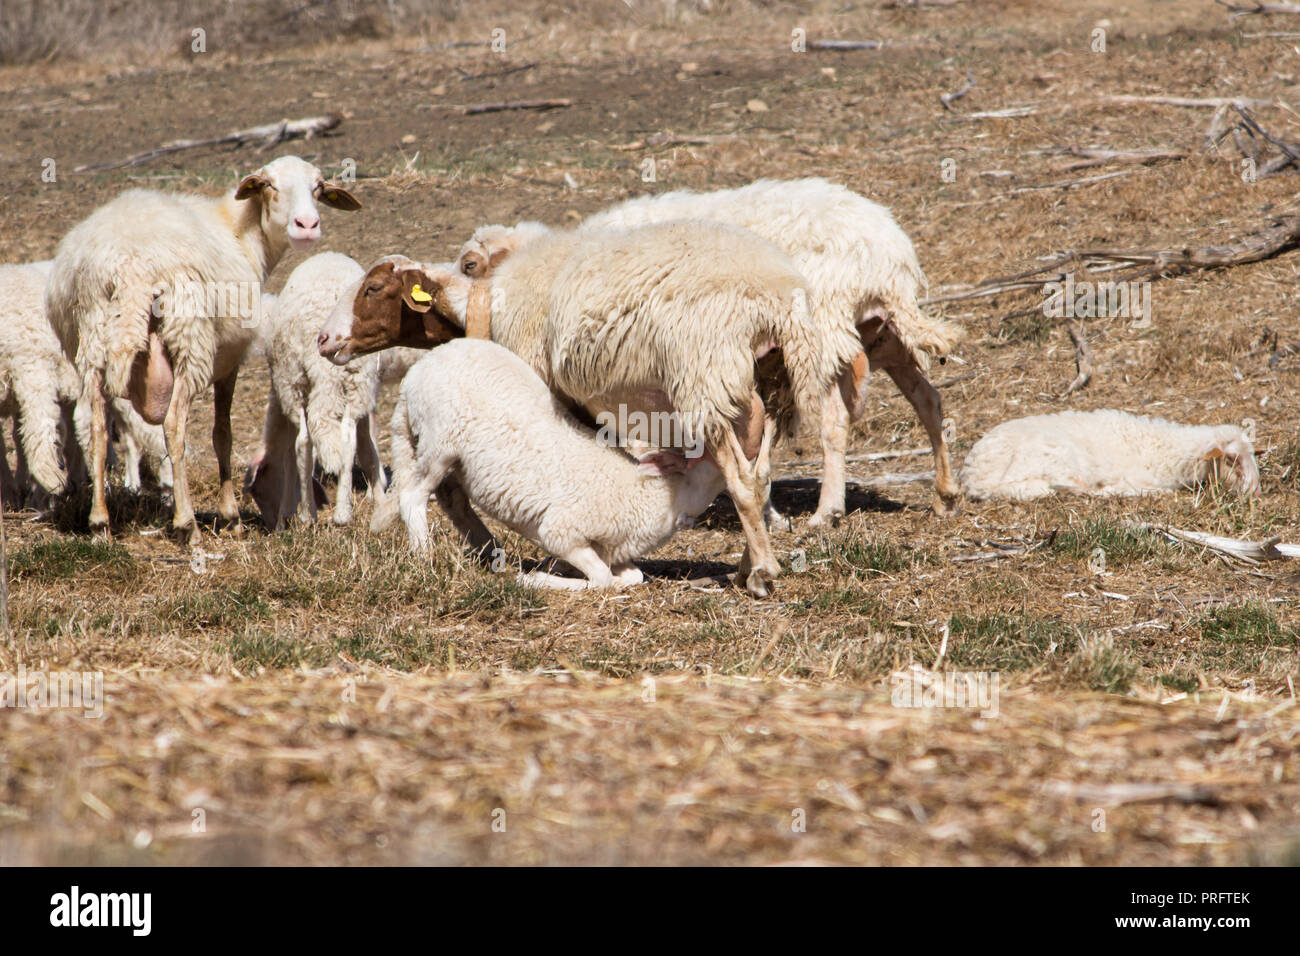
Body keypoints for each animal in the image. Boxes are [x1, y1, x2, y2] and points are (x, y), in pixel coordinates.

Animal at [46, 155, 360, 543]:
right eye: (270, 185)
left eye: (318, 187)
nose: (307, 225)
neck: (239, 231)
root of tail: (126, 263)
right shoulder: (230, 359)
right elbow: (222, 434)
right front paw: (230, 516)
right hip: (189, 339)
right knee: (174, 426)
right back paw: (187, 523)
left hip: (91, 342)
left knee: (97, 429)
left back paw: (100, 522)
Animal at [244, 252, 415, 530]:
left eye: (257, 491)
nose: (270, 524)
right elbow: (364, 447)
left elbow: (292, 454)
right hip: (344, 380)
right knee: (336, 437)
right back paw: (338, 514)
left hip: (300, 381)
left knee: (308, 441)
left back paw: (315, 515)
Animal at [391, 339, 726, 589]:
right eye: (703, 455)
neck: (659, 496)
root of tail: (420, 368)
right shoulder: (561, 531)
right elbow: (602, 578)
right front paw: (535, 579)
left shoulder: (610, 548)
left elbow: (634, 576)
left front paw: (552, 568)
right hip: (439, 439)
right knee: (413, 494)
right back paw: (424, 554)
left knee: (451, 496)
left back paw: (488, 548)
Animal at [454, 177, 966, 525]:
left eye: (469, 265)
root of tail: (890, 254)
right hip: (881, 332)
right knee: (928, 398)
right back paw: (944, 493)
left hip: (823, 332)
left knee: (835, 422)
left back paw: (827, 511)